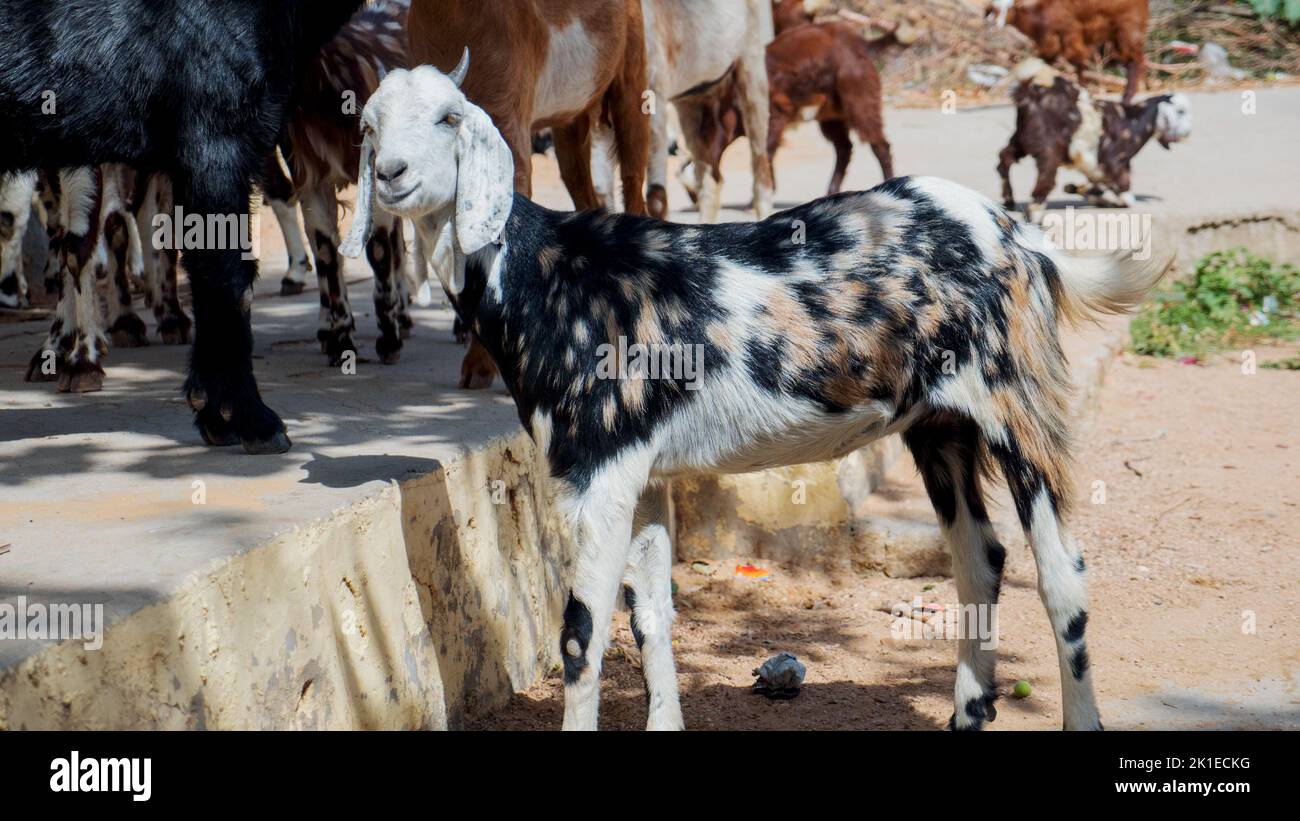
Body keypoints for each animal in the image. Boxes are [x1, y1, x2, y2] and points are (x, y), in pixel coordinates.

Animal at [343, 60, 1172, 730]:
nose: (391, 173)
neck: (546, 275)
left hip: (1016, 415)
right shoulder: (643, 479)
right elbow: (652, 618)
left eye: (450, 116)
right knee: (981, 559)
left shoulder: (598, 475)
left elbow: (580, 635)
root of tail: (1010, 230)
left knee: (1063, 576)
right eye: (369, 123)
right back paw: (966, 714)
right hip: (941, 428)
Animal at [406, 0, 652, 391]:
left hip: (631, 75)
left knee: (633, 179)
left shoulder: (506, 116)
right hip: (571, 119)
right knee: (584, 190)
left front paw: (482, 366)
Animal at [682, 20, 896, 203]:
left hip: (859, 96)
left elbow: (766, 151)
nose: (695, 201)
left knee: (878, 143)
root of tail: (860, 44)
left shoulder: (776, 113)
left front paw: (759, 196)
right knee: (844, 147)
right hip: (831, 113)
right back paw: (831, 191)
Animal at [988, 0, 1150, 103]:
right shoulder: (1051, 44)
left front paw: (1082, 92)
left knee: (1137, 60)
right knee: (1129, 62)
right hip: (1115, 39)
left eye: (1009, 9)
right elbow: (1040, 63)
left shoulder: (1071, 35)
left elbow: (1077, 63)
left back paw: (1129, 97)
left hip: (1127, 31)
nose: (996, 23)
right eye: (994, 10)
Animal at [998, 58, 1191, 223]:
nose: (1187, 133)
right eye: (1180, 110)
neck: (1132, 122)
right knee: (1044, 181)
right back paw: (1035, 215)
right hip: (1049, 148)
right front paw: (1098, 198)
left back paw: (1009, 200)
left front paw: (1077, 189)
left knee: (1004, 159)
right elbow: (1126, 199)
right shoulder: (1116, 165)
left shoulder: (1099, 169)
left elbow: (1095, 187)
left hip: (1021, 139)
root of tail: (1031, 90)